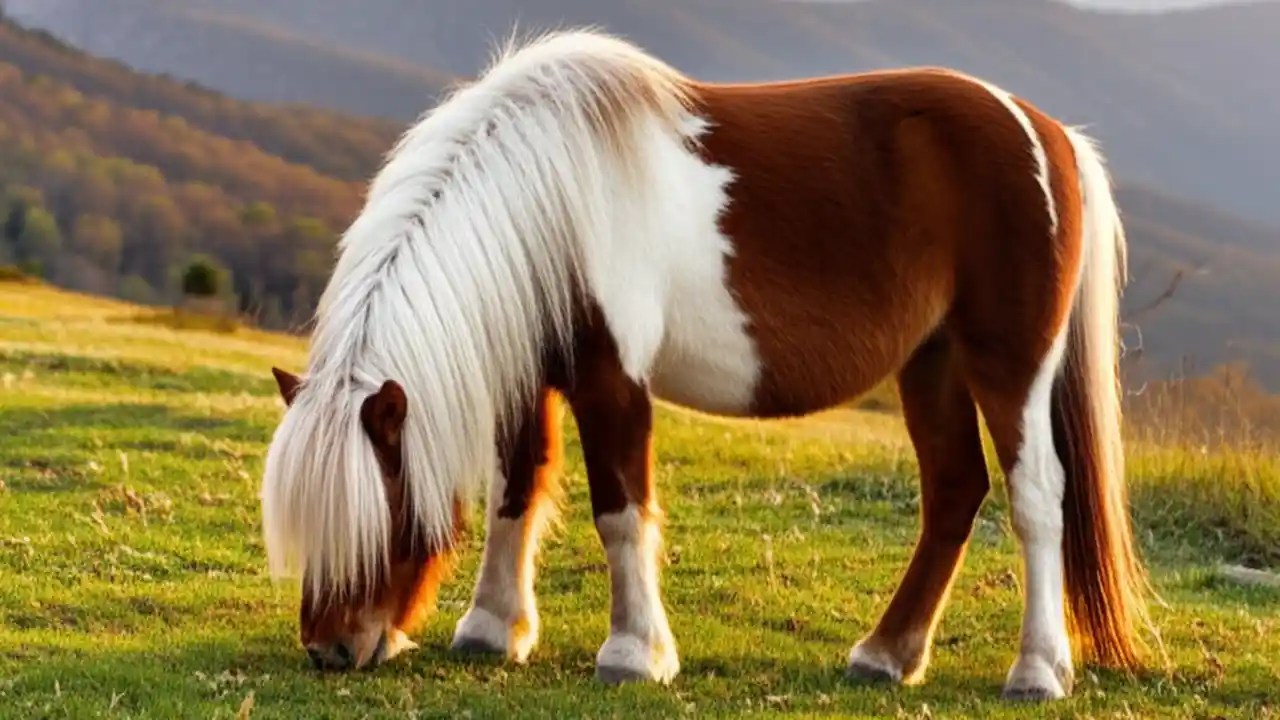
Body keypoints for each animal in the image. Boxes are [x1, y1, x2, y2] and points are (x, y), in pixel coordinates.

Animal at [260, 28, 1149, 701]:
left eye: (373, 518)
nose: (332, 648)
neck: (554, 192)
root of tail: (1050, 133)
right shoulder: (531, 369)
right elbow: (518, 488)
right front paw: (490, 629)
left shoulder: (613, 380)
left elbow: (619, 511)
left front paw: (633, 654)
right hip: (929, 364)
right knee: (955, 491)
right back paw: (886, 655)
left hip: (1009, 364)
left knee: (1036, 499)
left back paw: (1036, 672)